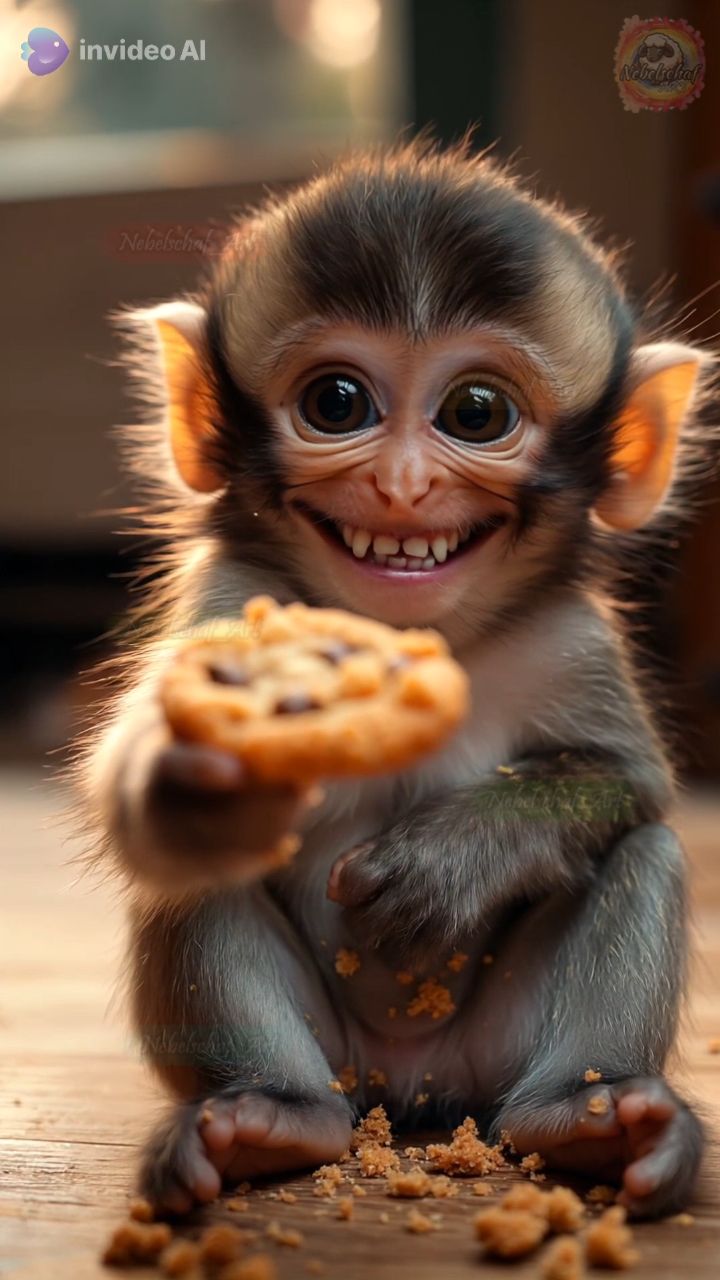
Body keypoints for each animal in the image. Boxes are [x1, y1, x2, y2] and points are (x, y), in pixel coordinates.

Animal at [77, 139, 715, 1220]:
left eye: (476, 413)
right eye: (336, 403)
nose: (403, 487)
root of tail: (410, 1090)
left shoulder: (572, 635)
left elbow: (632, 784)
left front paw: (448, 863)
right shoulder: (228, 594)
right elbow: (134, 795)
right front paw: (192, 779)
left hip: (493, 1055)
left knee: (647, 853)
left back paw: (590, 1118)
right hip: (339, 1061)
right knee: (194, 889)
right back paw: (269, 1114)